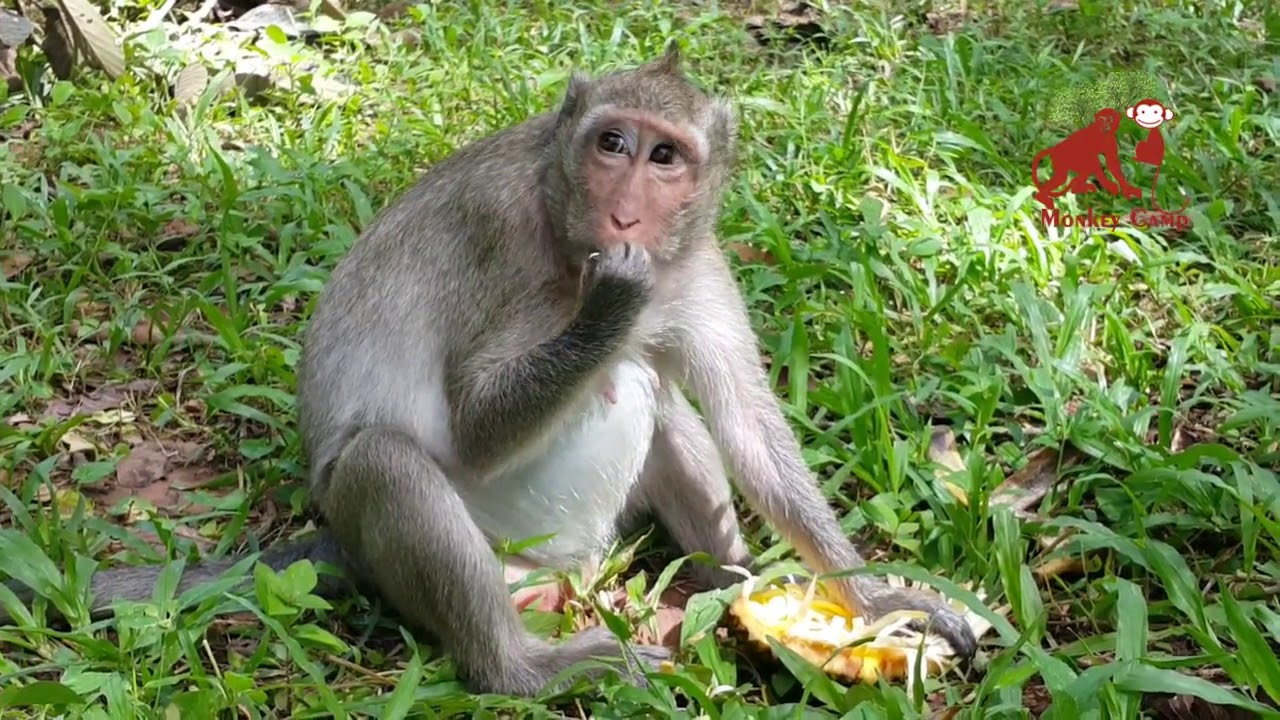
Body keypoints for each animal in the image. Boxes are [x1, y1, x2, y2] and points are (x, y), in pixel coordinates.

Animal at [0, 46, 977, 697]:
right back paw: (523, 669)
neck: (565, 215)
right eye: (611, 143)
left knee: (662, 398)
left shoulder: (697, 266)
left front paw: (880, 599)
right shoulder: (498, 239)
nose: (625, 212)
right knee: (386, 465)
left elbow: (749, 430)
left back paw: (730, 579)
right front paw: (609, 307)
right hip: (472, 546)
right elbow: (473, 422)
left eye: (665, 156)